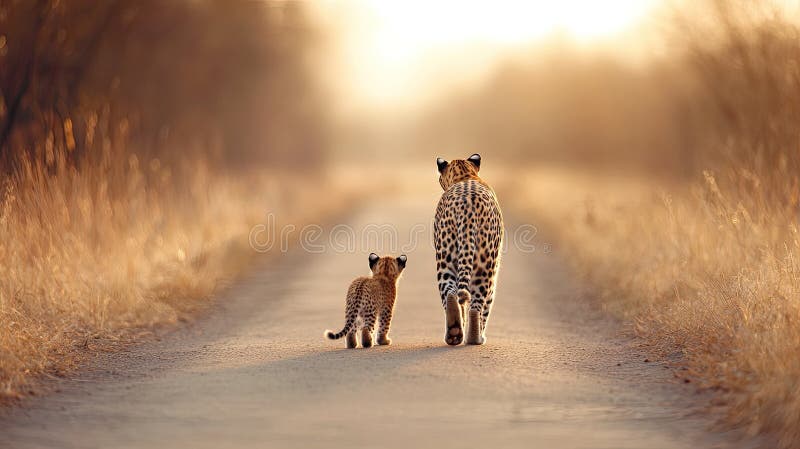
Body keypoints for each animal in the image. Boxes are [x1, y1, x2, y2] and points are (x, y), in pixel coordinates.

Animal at [434, 153, 503, 346]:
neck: (465, 175)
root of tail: (468, 208)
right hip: (485, 266)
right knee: (477, 305)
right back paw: (476, 338)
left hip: (446, 256)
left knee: (450, 294)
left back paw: (454, 333)